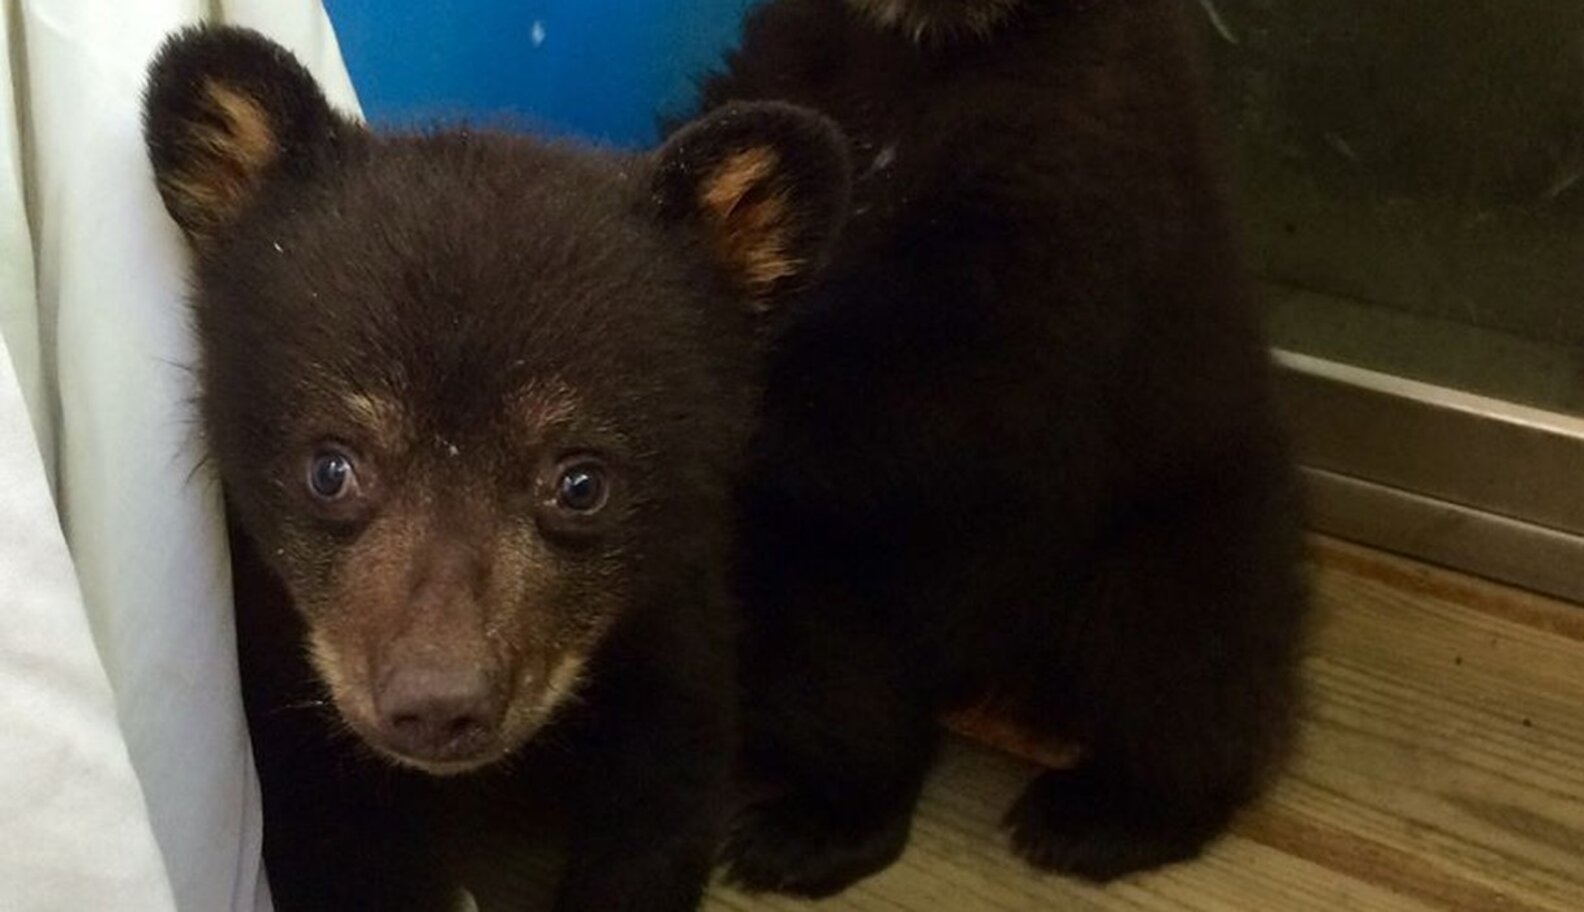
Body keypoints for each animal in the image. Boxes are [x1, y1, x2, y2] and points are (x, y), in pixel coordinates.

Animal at [143, 25, 850, 912]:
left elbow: (665, 803)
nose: (439, 705)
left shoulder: (674, 627)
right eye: (330, 468)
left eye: (582, 483)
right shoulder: (287, 682)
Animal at [680, 0, 1313, 896]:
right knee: (840, 680)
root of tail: (990, 663)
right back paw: (829, 818)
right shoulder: (782, 82)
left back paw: (1109, 816)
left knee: (1179, 663)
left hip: (1186, 534)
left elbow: (965, 374)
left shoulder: (1076, 184)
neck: (924, 52)